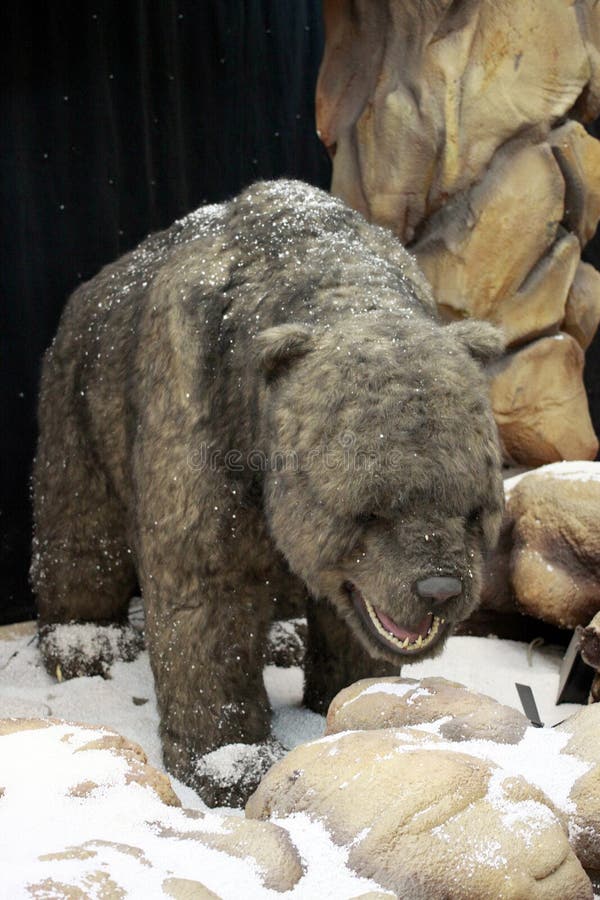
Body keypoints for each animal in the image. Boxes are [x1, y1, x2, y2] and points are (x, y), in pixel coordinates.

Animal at [32, 179, 504, 806]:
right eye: (370, 507)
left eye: (472, 505)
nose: (439, 588)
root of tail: (89, 286)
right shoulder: (198, 420)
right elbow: (206, 606)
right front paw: (235, 766)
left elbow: (348, 623)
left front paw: (357, 707)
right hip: (81, 397)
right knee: (80, 527)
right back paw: (85, 644)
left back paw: (284, 637)